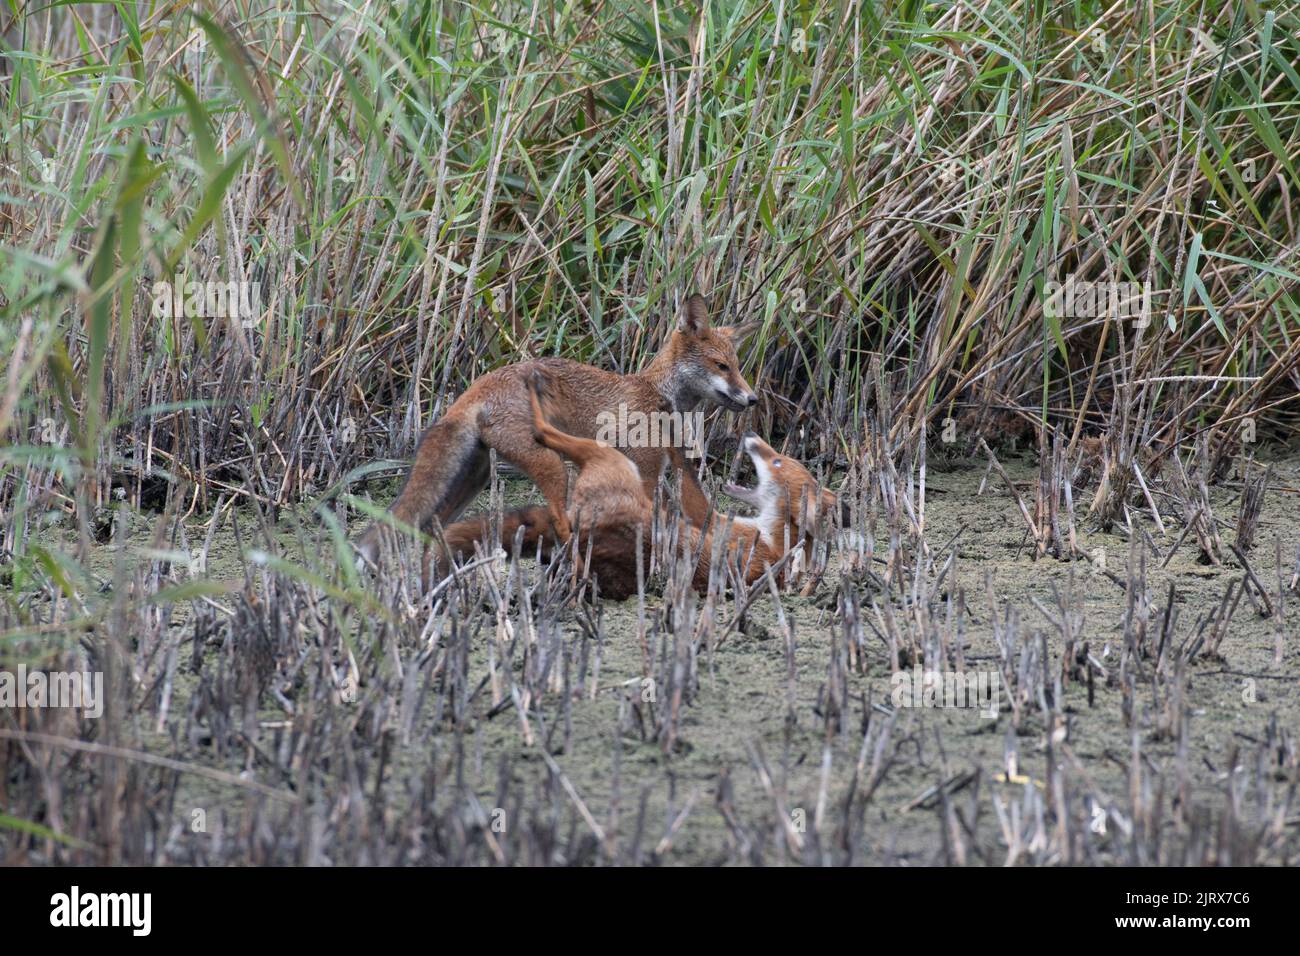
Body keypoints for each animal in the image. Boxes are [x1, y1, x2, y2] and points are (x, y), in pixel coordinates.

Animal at [355, 294, 757, 569]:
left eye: (737, 367)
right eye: (721, 366)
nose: (752, 398)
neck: (657, 393)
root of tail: (480, 384)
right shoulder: (643, 471)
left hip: (472, 481)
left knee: (429, 529)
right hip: (551, 467)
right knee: (562, 525)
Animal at [435, 371, 839, 599]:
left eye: (777, 461)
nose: (752, 435)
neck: (776, 543)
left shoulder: (726, 529)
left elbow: (685, 477)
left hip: (604, 458)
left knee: (545, 432)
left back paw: (536, 394)